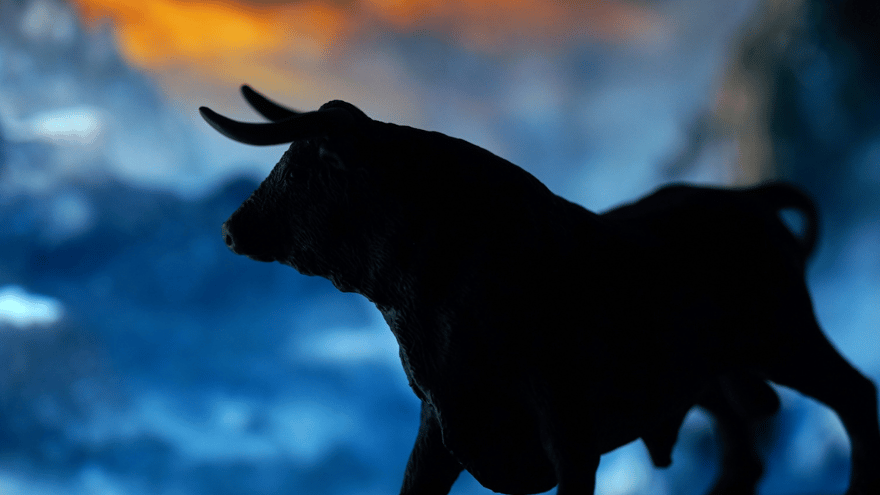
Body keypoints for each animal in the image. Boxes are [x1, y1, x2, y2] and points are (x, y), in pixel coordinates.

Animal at [200, 86, 880, 495]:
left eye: (304, 169)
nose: (232, 229)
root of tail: (752, 199)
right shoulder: (442, 416)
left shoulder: (568, 427)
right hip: (719, 375)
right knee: (744, 449)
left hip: (787, 337)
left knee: (853, 394)